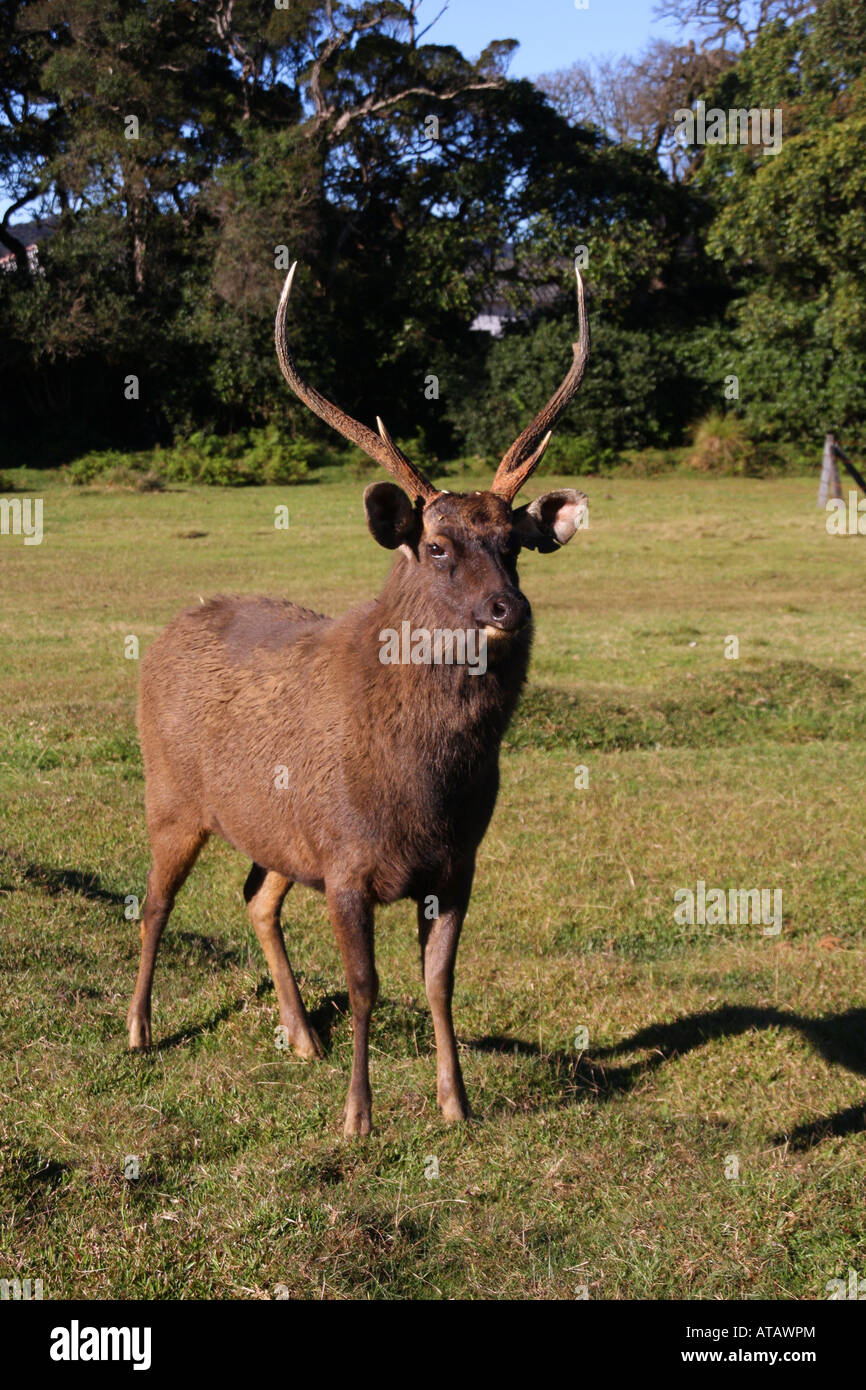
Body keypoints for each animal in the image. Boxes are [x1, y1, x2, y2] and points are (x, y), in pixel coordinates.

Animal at [127, 263, 589, 1136]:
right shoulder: (345, 861)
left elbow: (440, 983)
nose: (508, 610)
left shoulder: (458, 863)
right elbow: (369, 987)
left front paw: (456, 1104)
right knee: (156, 902)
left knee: (256, 896)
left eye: (515, 545)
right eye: (436, 545)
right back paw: (138, 1029)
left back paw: (303, 1034)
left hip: (276, 831)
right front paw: (358, 1118)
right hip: (170, 794)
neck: (425, 789)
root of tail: (169, 627)